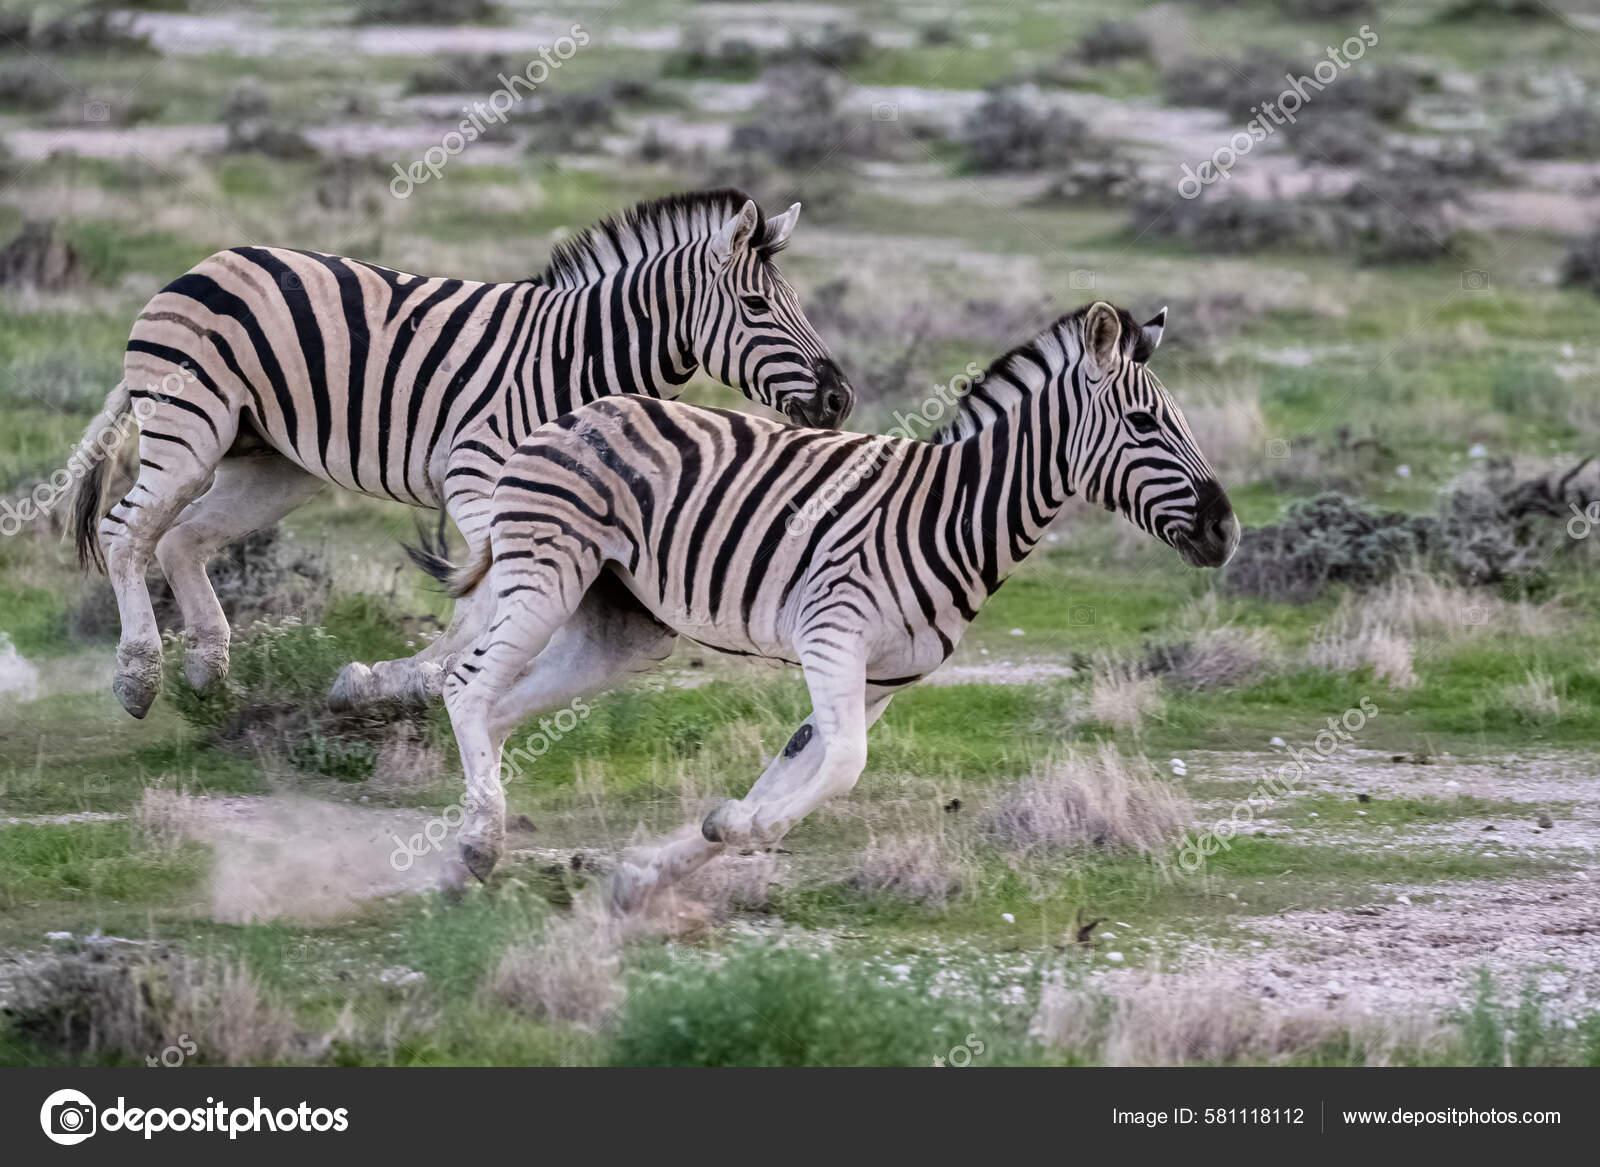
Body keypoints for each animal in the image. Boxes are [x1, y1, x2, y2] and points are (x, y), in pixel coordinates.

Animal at [68, 188, 854, 721]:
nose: (839, 399)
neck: (575, 359)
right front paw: (394, 681)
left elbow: (497, 604)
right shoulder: (481, 478)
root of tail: (202, 264)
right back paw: (138, 678)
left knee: (181, 539)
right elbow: (484, 601)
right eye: (757, 306)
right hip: (190, 423)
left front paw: (401, 681)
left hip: (272, 463)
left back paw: (206, 671)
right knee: (125, 531)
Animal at [427, 298, 1239, 901]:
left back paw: (481, 831)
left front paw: (662, 866)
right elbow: (845, 763)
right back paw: (474, 849)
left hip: (621, 627)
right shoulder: (831, 635)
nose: (1226, 531)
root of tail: (574, 412)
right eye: (1144, 424)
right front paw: (735, 828)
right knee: (466, 686)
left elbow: (797, 770)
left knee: (501, 707)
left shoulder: (882, 678)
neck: (956, 513)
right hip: (548, 573)